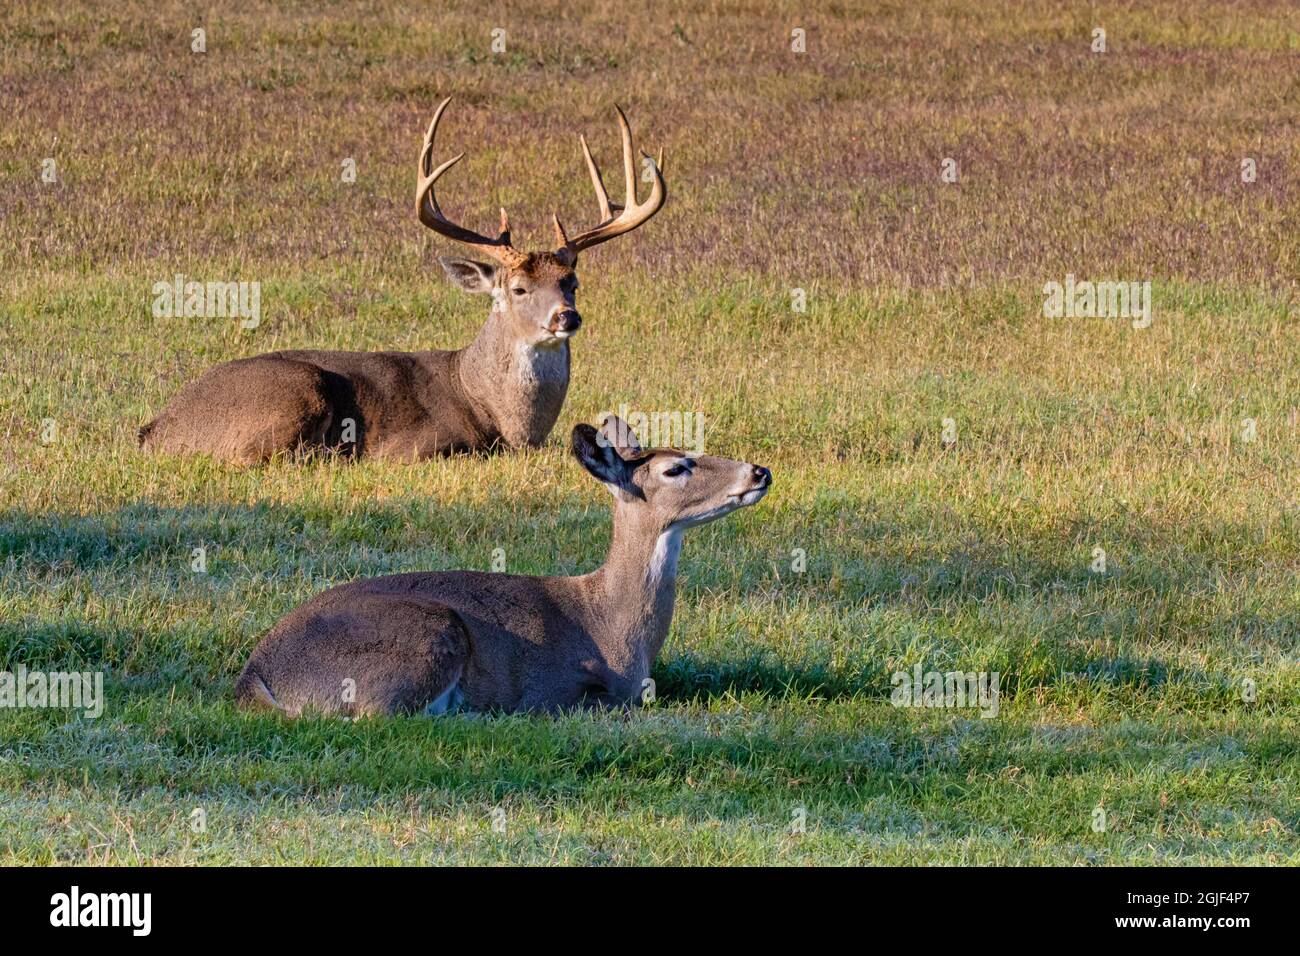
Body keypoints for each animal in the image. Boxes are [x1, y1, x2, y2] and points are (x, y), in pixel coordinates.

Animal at [138, 99, 667, 464]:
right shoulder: (420, 446)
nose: (566, 316)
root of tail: (157, 427)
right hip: (294, 390)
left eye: (571, 281)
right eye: (517, 288)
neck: (496, 411)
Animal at [234, 415, 772, 716]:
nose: (759, 471)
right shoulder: (554, 685)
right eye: (674, 468)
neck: (614, 628)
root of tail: (254, 674)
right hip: (424, 634)